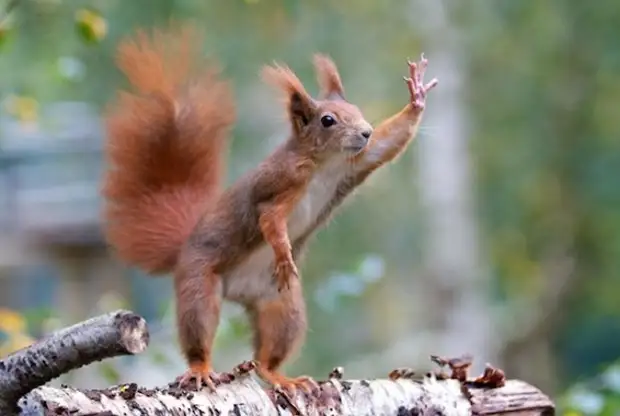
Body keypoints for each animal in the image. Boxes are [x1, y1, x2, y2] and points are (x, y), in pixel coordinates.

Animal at [101, 26, 438, 394]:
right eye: (328, 120)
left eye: (357, 110)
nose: (365, 131)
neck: (325, 163)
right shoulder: (278, 187)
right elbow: (270, 219)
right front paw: (284, 253)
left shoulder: (356, 163)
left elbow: (387, 145)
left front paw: (417, 96)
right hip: (199, 282)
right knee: (199, 327)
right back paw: (201, 368)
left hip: (282, 306)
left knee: (266, 357)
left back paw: (279, 376)